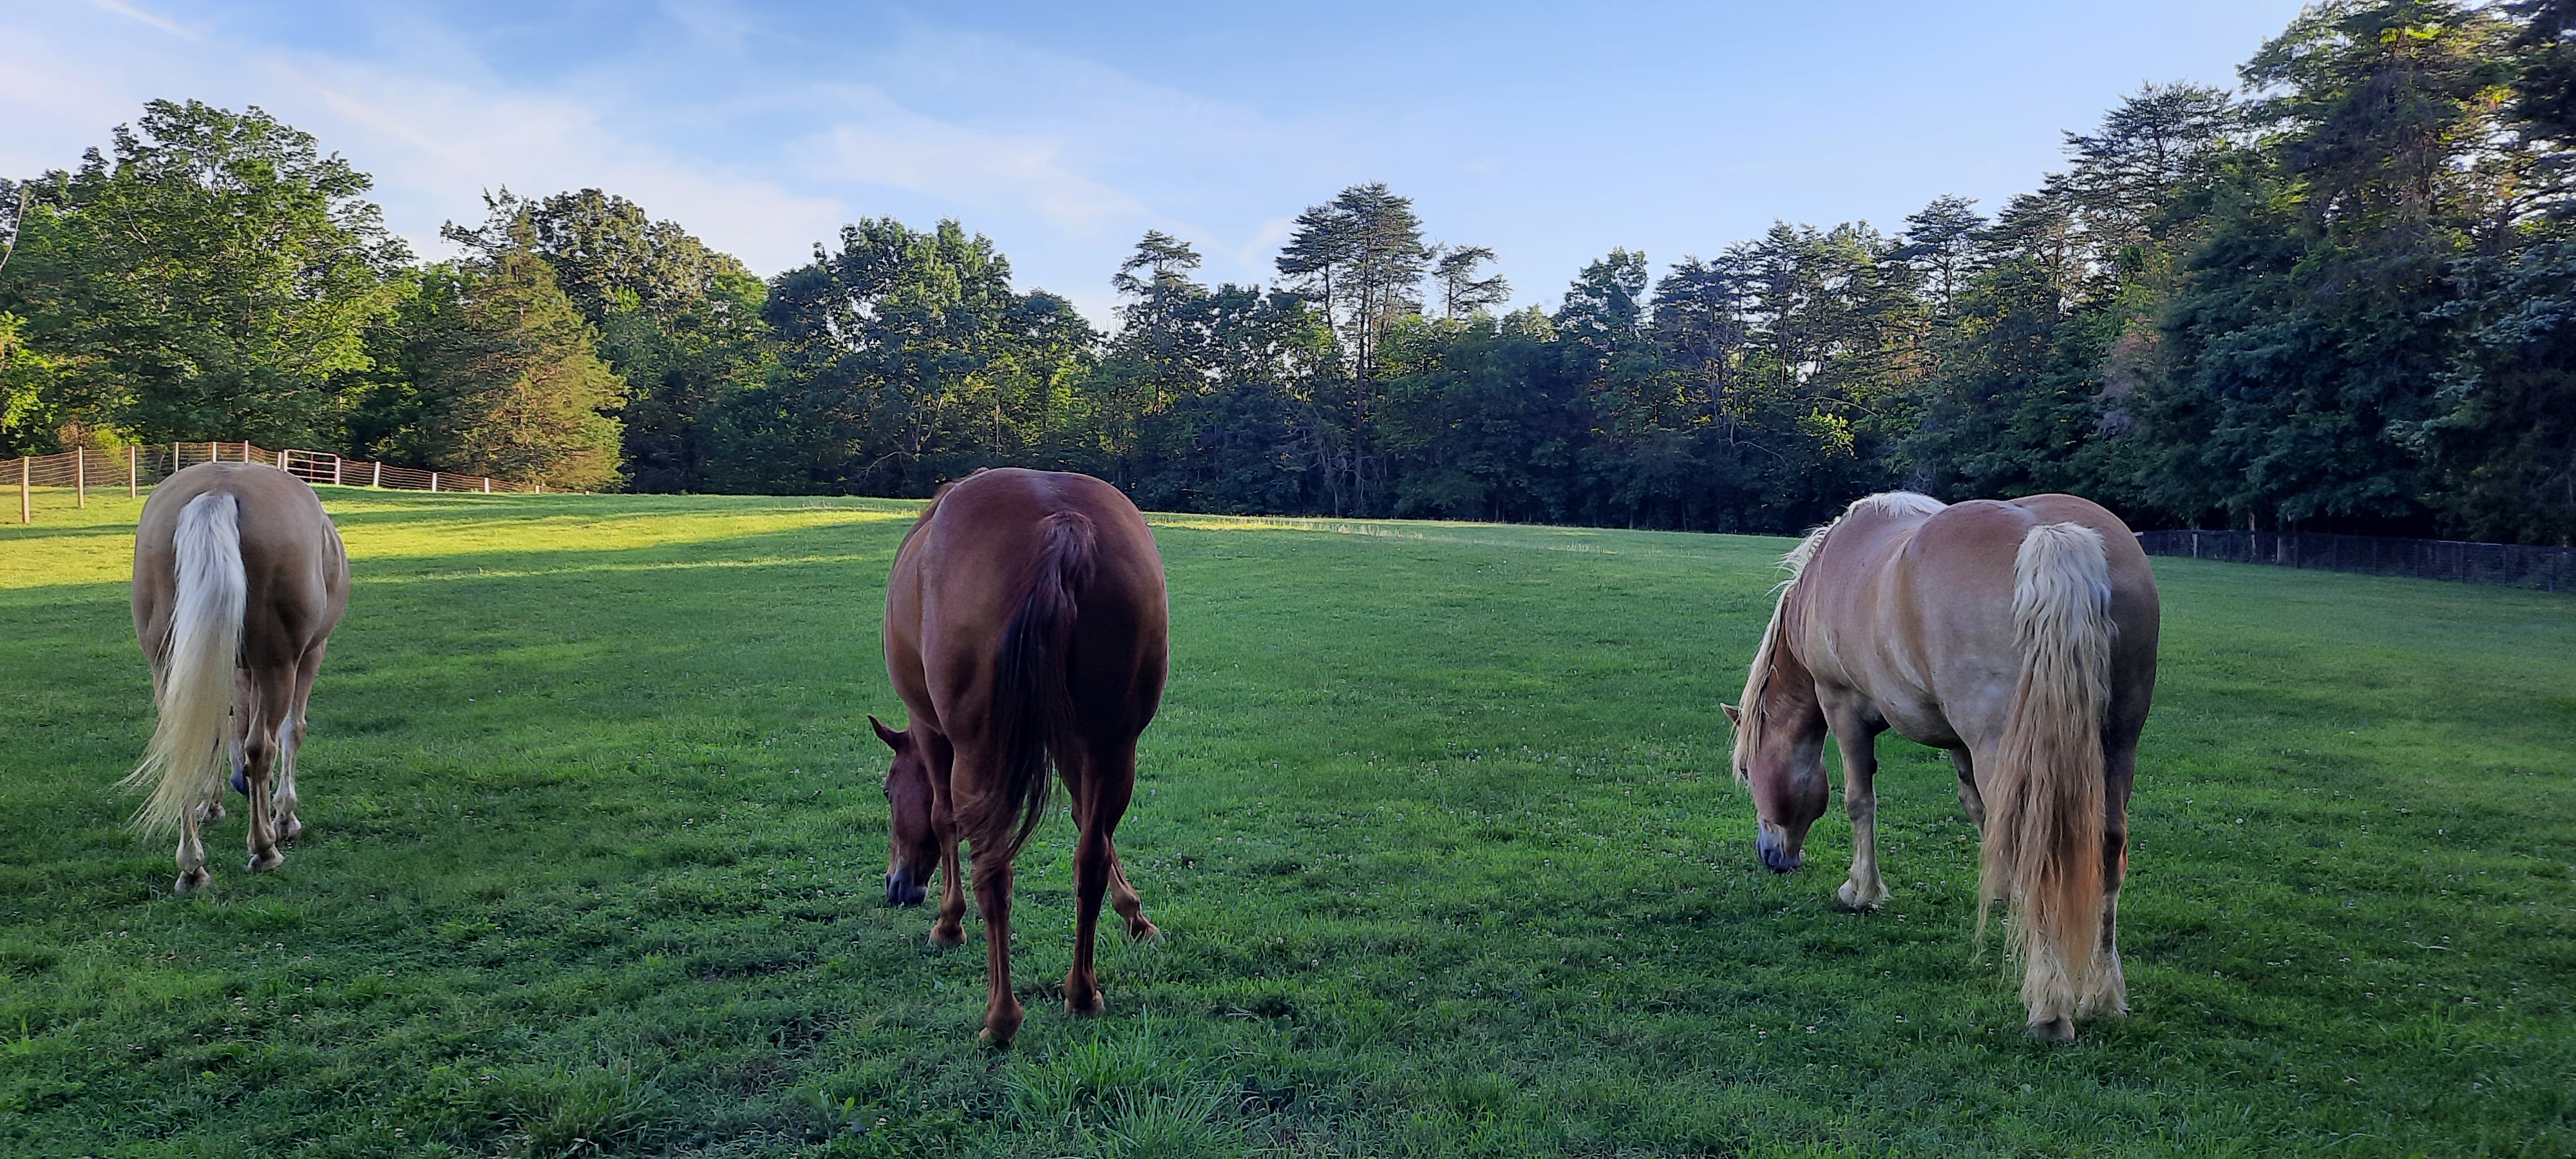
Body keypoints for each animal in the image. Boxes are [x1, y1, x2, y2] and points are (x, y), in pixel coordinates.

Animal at [124, 462, 349, 894]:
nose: (237, 785)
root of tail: (219, 491)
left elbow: (218, 732)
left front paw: (212, 805)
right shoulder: (309, 656)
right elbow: (291, 731)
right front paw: (284, 816)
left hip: (168, 663)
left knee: (185, 745)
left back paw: (192, 867)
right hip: (280, 663)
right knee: (262, 747)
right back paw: (264, 848)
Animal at [873, 467, 1168, 1048]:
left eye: (889, 791)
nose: (899, 887)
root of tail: (1062, 523)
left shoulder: (934, 732)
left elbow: (942, 821)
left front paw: (948, 923)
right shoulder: (1077, 744)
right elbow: (1086, 826)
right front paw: (1136, 917)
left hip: (981, 752)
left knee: (994, 872)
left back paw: (1001, 1018)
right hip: (1113, 745)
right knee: (1088, 857)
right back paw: (1082, 993)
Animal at [1723, 492, 2158, 1041]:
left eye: (1746, 773)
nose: (1770, 856)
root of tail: (2053, 537)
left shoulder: (1841, 704)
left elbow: (1859, 802)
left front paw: (1862, 891)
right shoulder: (1958, 742)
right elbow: (1982, 815)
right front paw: (2003, 897)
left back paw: (2049, 1010)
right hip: (2117, 747)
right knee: (2106, 848)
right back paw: (2102, 997)